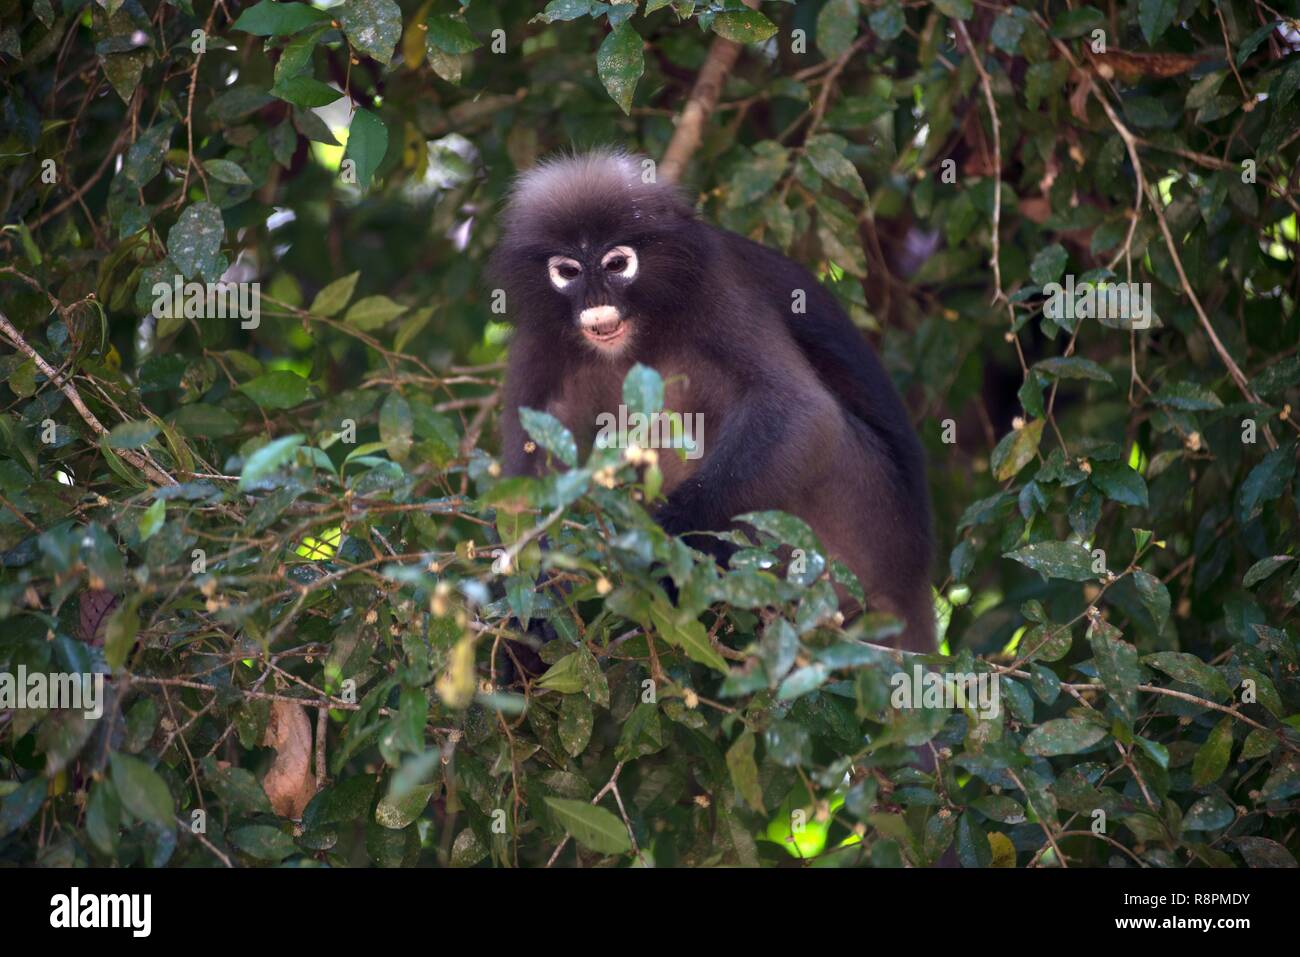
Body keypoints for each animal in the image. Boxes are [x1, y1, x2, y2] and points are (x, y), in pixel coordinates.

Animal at [489, 149, 935, 653]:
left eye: (616, 264)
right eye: (568, 272)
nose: (595, 304)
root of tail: (911, 581)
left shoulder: (715, 286)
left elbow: (801, 411)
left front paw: (667, 539)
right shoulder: (538, 337)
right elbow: (526, 474)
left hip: (854, 529)